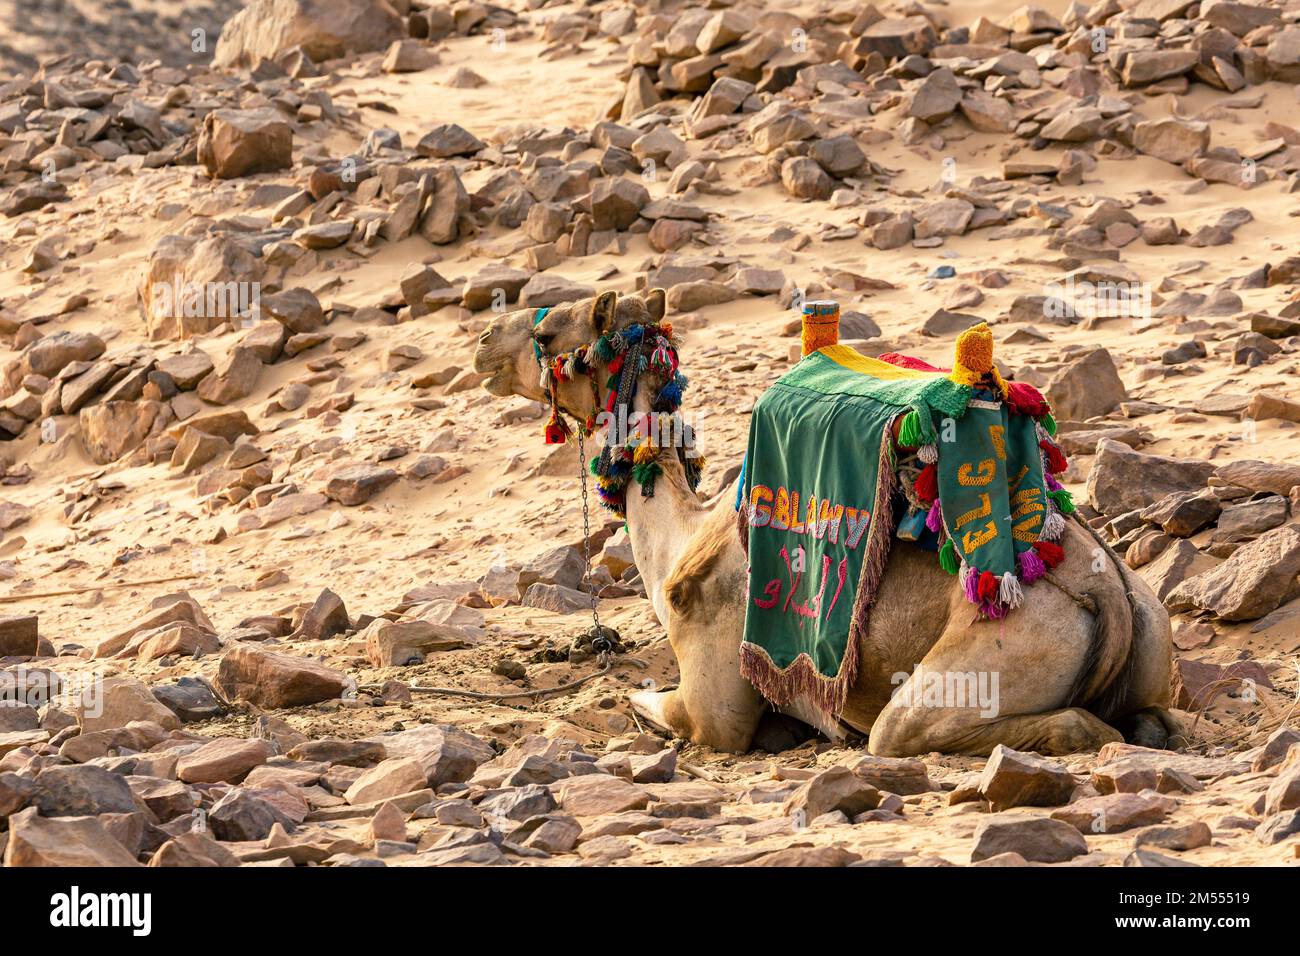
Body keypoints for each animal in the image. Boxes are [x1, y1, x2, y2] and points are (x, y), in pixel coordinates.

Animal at [473, 289, 1178, 756]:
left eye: (549, 331)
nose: (482, 343)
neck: (678, 543)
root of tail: (1108, 592)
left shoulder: (713, 701)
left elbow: (658, 705)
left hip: (1000, 650)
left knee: (916, 730)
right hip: (1152, 633)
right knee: (1150, 720)